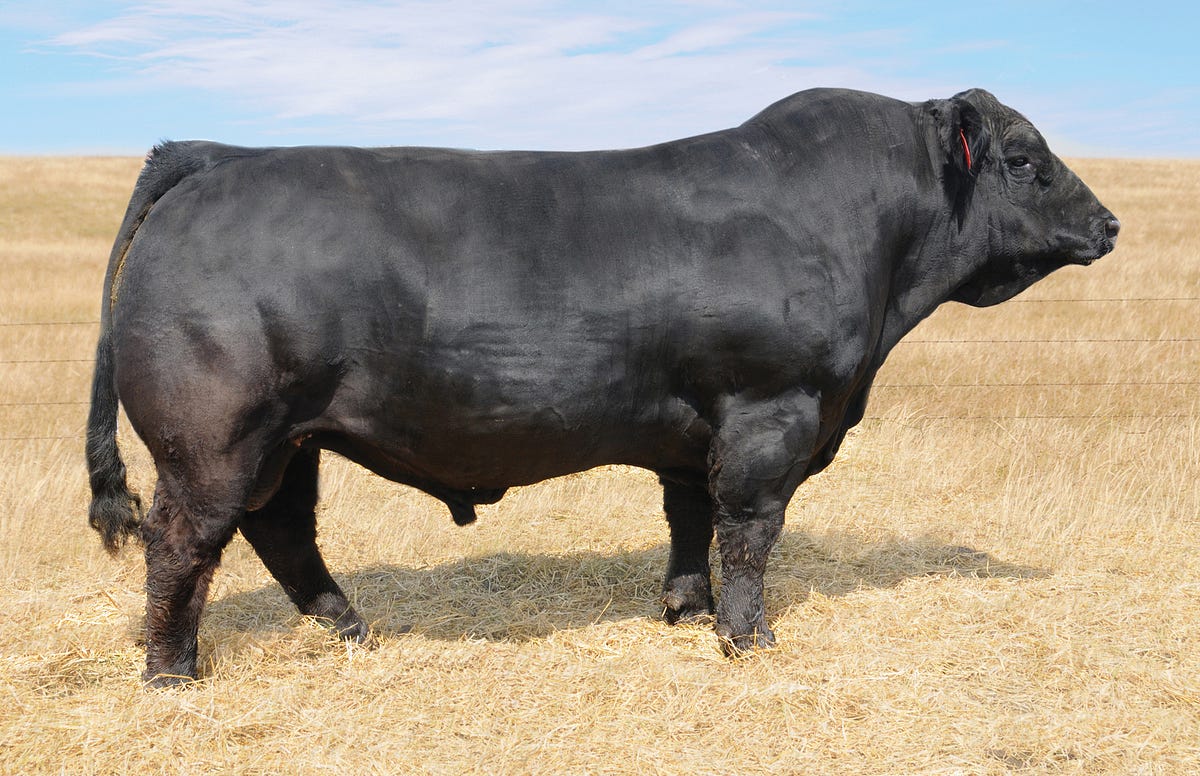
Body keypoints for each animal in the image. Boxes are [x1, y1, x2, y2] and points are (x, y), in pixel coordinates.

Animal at [85, 87, 1119, 686]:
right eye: (1024, 161)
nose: (1109, 223)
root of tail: (218, 155)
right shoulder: (771, 412)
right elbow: (751, 533)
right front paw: (748, 641)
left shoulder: (695, 434)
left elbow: (692, 520)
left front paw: (687, 611)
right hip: (213, 437)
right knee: (184, 543)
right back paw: (173, 672)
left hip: (287, 438)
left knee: (282, 531)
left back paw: (351, 630)